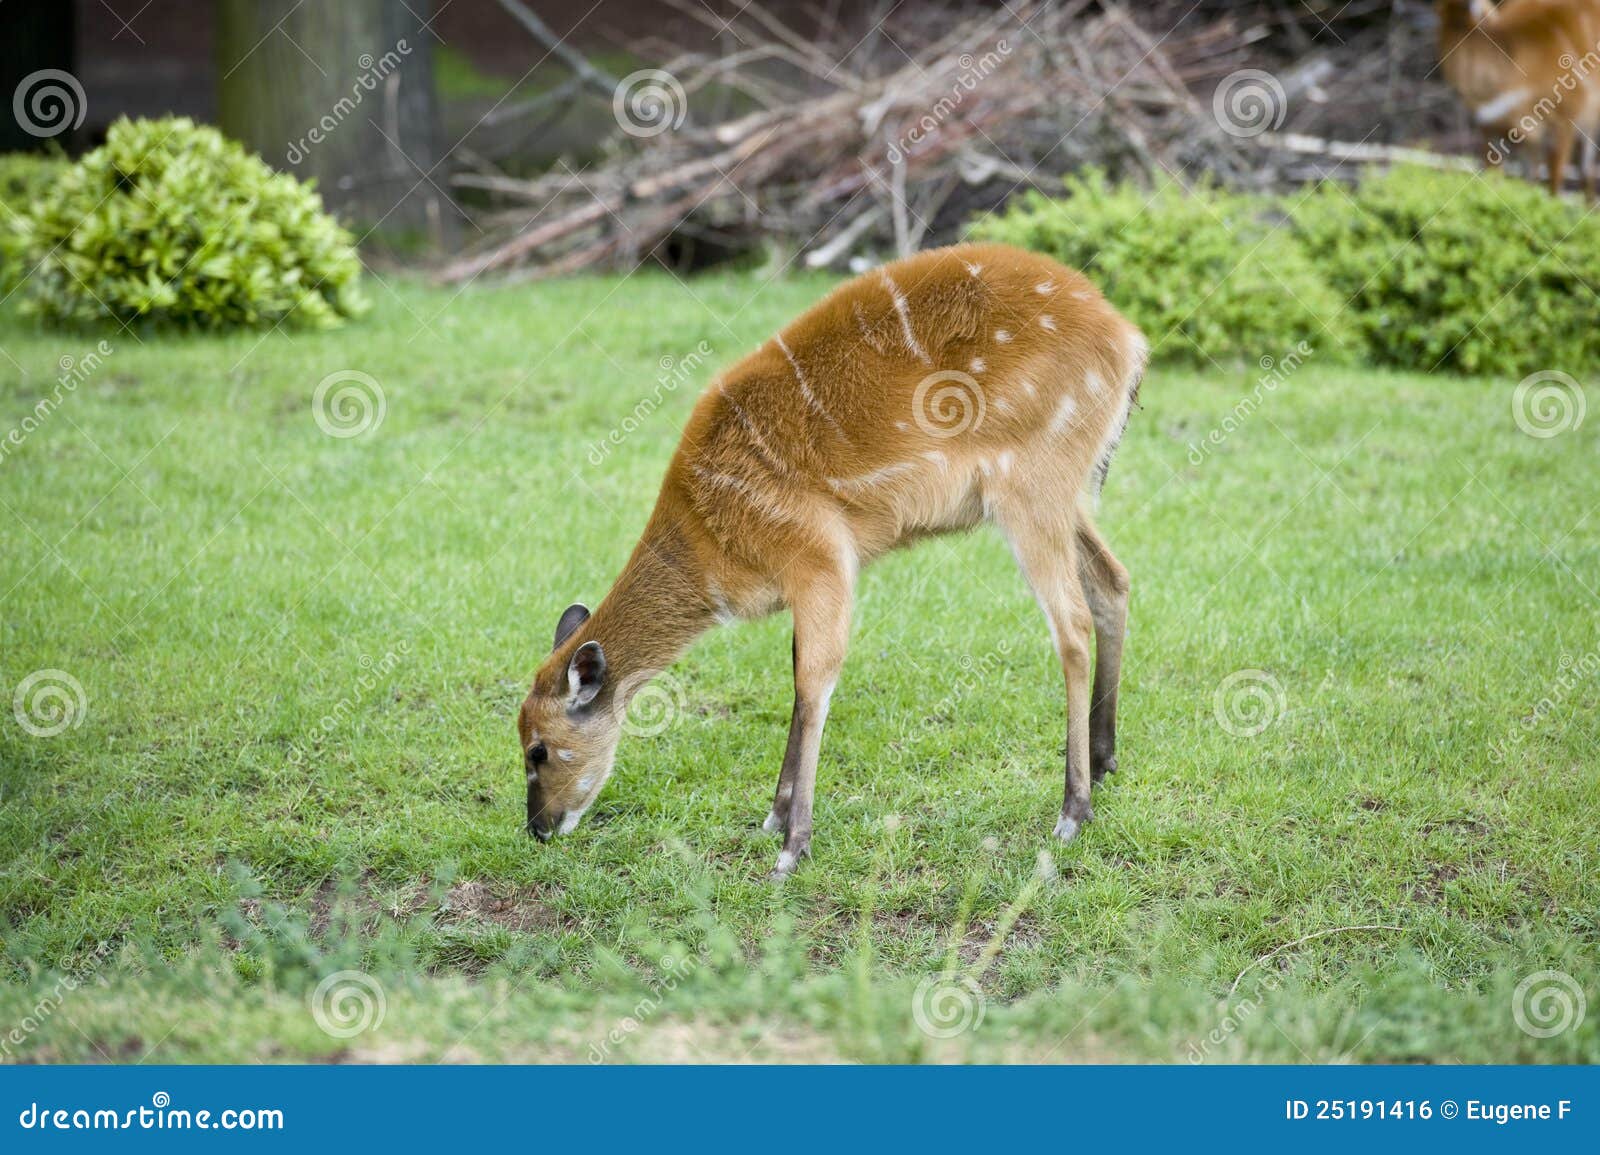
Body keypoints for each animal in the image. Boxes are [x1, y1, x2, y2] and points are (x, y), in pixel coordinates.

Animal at [518, 242, 1147, 877]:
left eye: (537, 749)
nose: (538, 829)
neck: (711, 539)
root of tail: (1129, 340)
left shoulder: (820, 556)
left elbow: (815, 681)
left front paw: (791, 848)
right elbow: (799, 674)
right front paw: (773, 817)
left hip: (1031, 487)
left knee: (1071, 623)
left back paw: (1072, 812)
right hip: (1062, 495)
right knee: (1113, 581)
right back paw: (1104, 762)